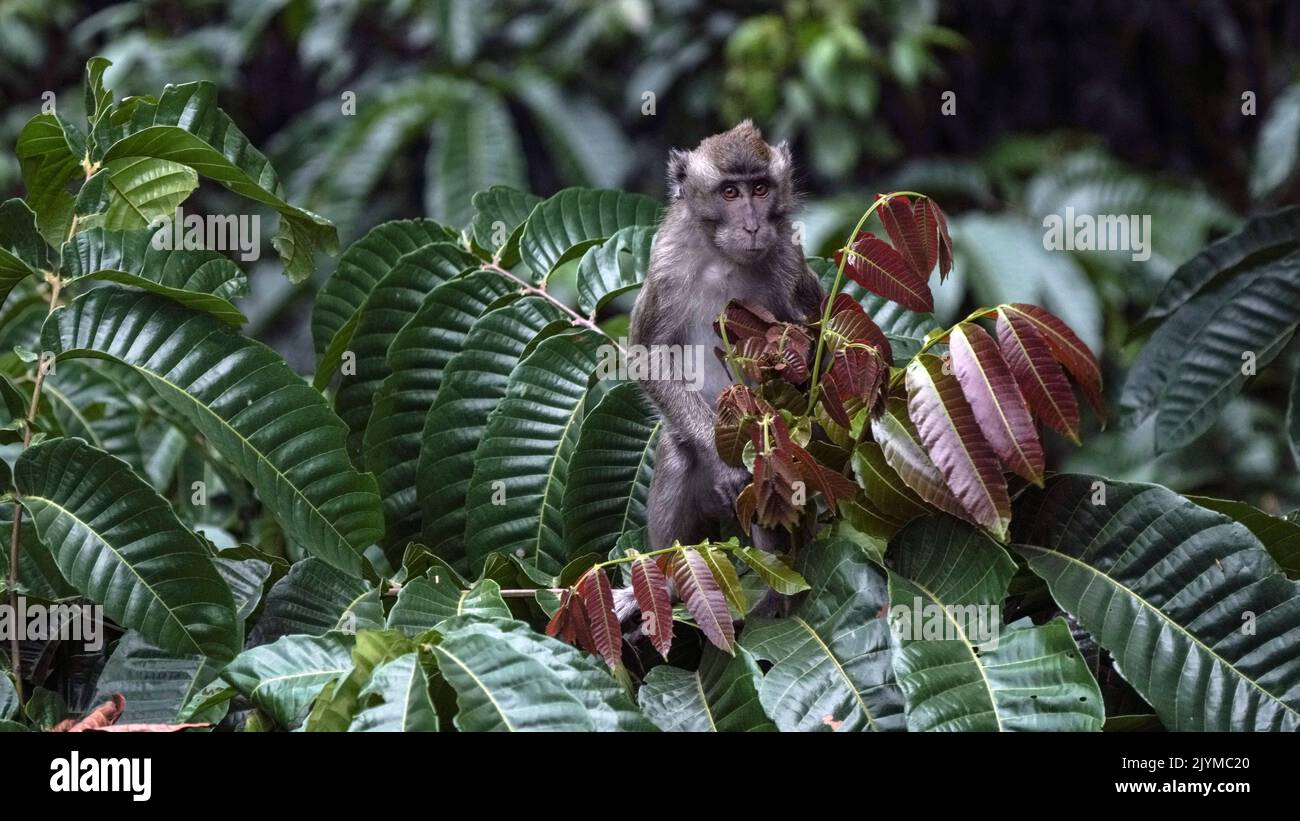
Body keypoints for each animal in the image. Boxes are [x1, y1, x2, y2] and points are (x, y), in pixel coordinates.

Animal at [630, 121, 824, 556]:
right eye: (730, 192)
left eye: (761, 189)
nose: (752, 226)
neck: (722, 256)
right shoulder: (666, 263)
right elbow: (648, 355)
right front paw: (728, 466)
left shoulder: (789, 257)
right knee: (679, 456)